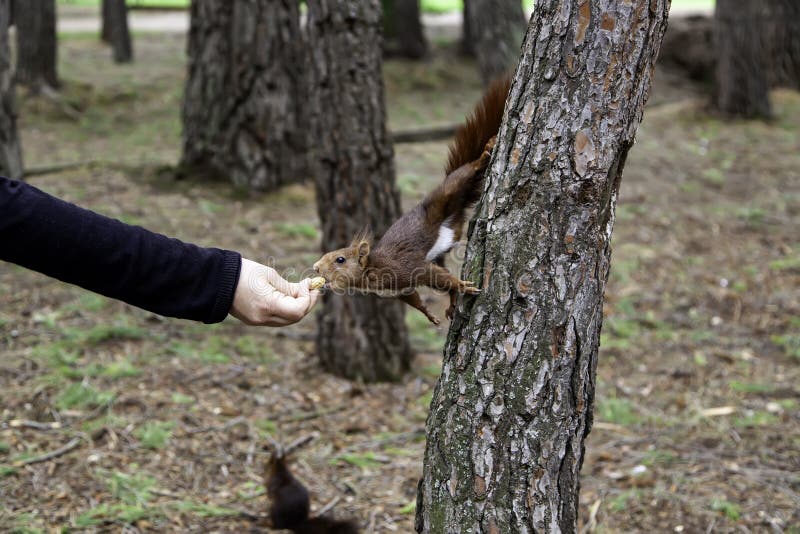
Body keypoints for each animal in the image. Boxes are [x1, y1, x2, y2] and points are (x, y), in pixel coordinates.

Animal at [312, 75, 511, 325]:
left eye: (340, 260)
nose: (315, 268)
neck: (370, 275)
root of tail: (452, 214)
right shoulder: (401, 290)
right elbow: (414, 299)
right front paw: (429, 313)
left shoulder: (408, 269)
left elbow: (436, 276)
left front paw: (463, 285)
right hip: (441, 249)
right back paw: (452, 303)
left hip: (444, 195)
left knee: (463, 175)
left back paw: (484, 154)